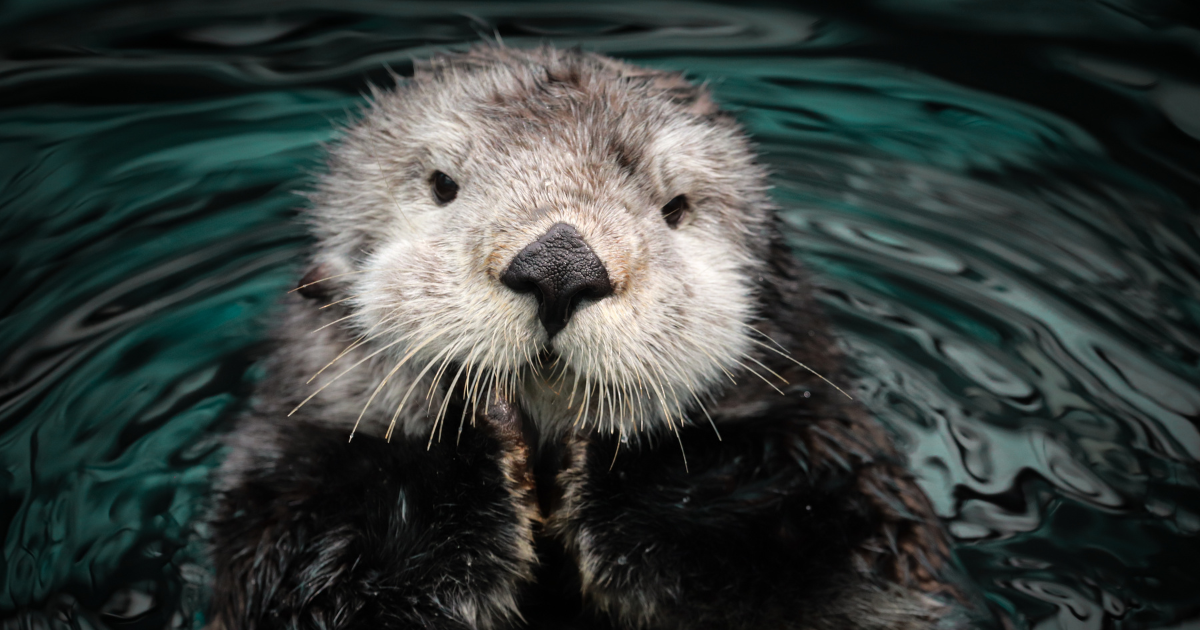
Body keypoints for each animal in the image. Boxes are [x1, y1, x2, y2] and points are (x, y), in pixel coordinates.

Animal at [208, 46, 990, 630]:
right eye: (442, 184)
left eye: (676, 207)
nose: (560, 266)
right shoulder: (288, 477)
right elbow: (323, 582)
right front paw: (476, 418)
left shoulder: (836, 479)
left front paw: (613, 430)